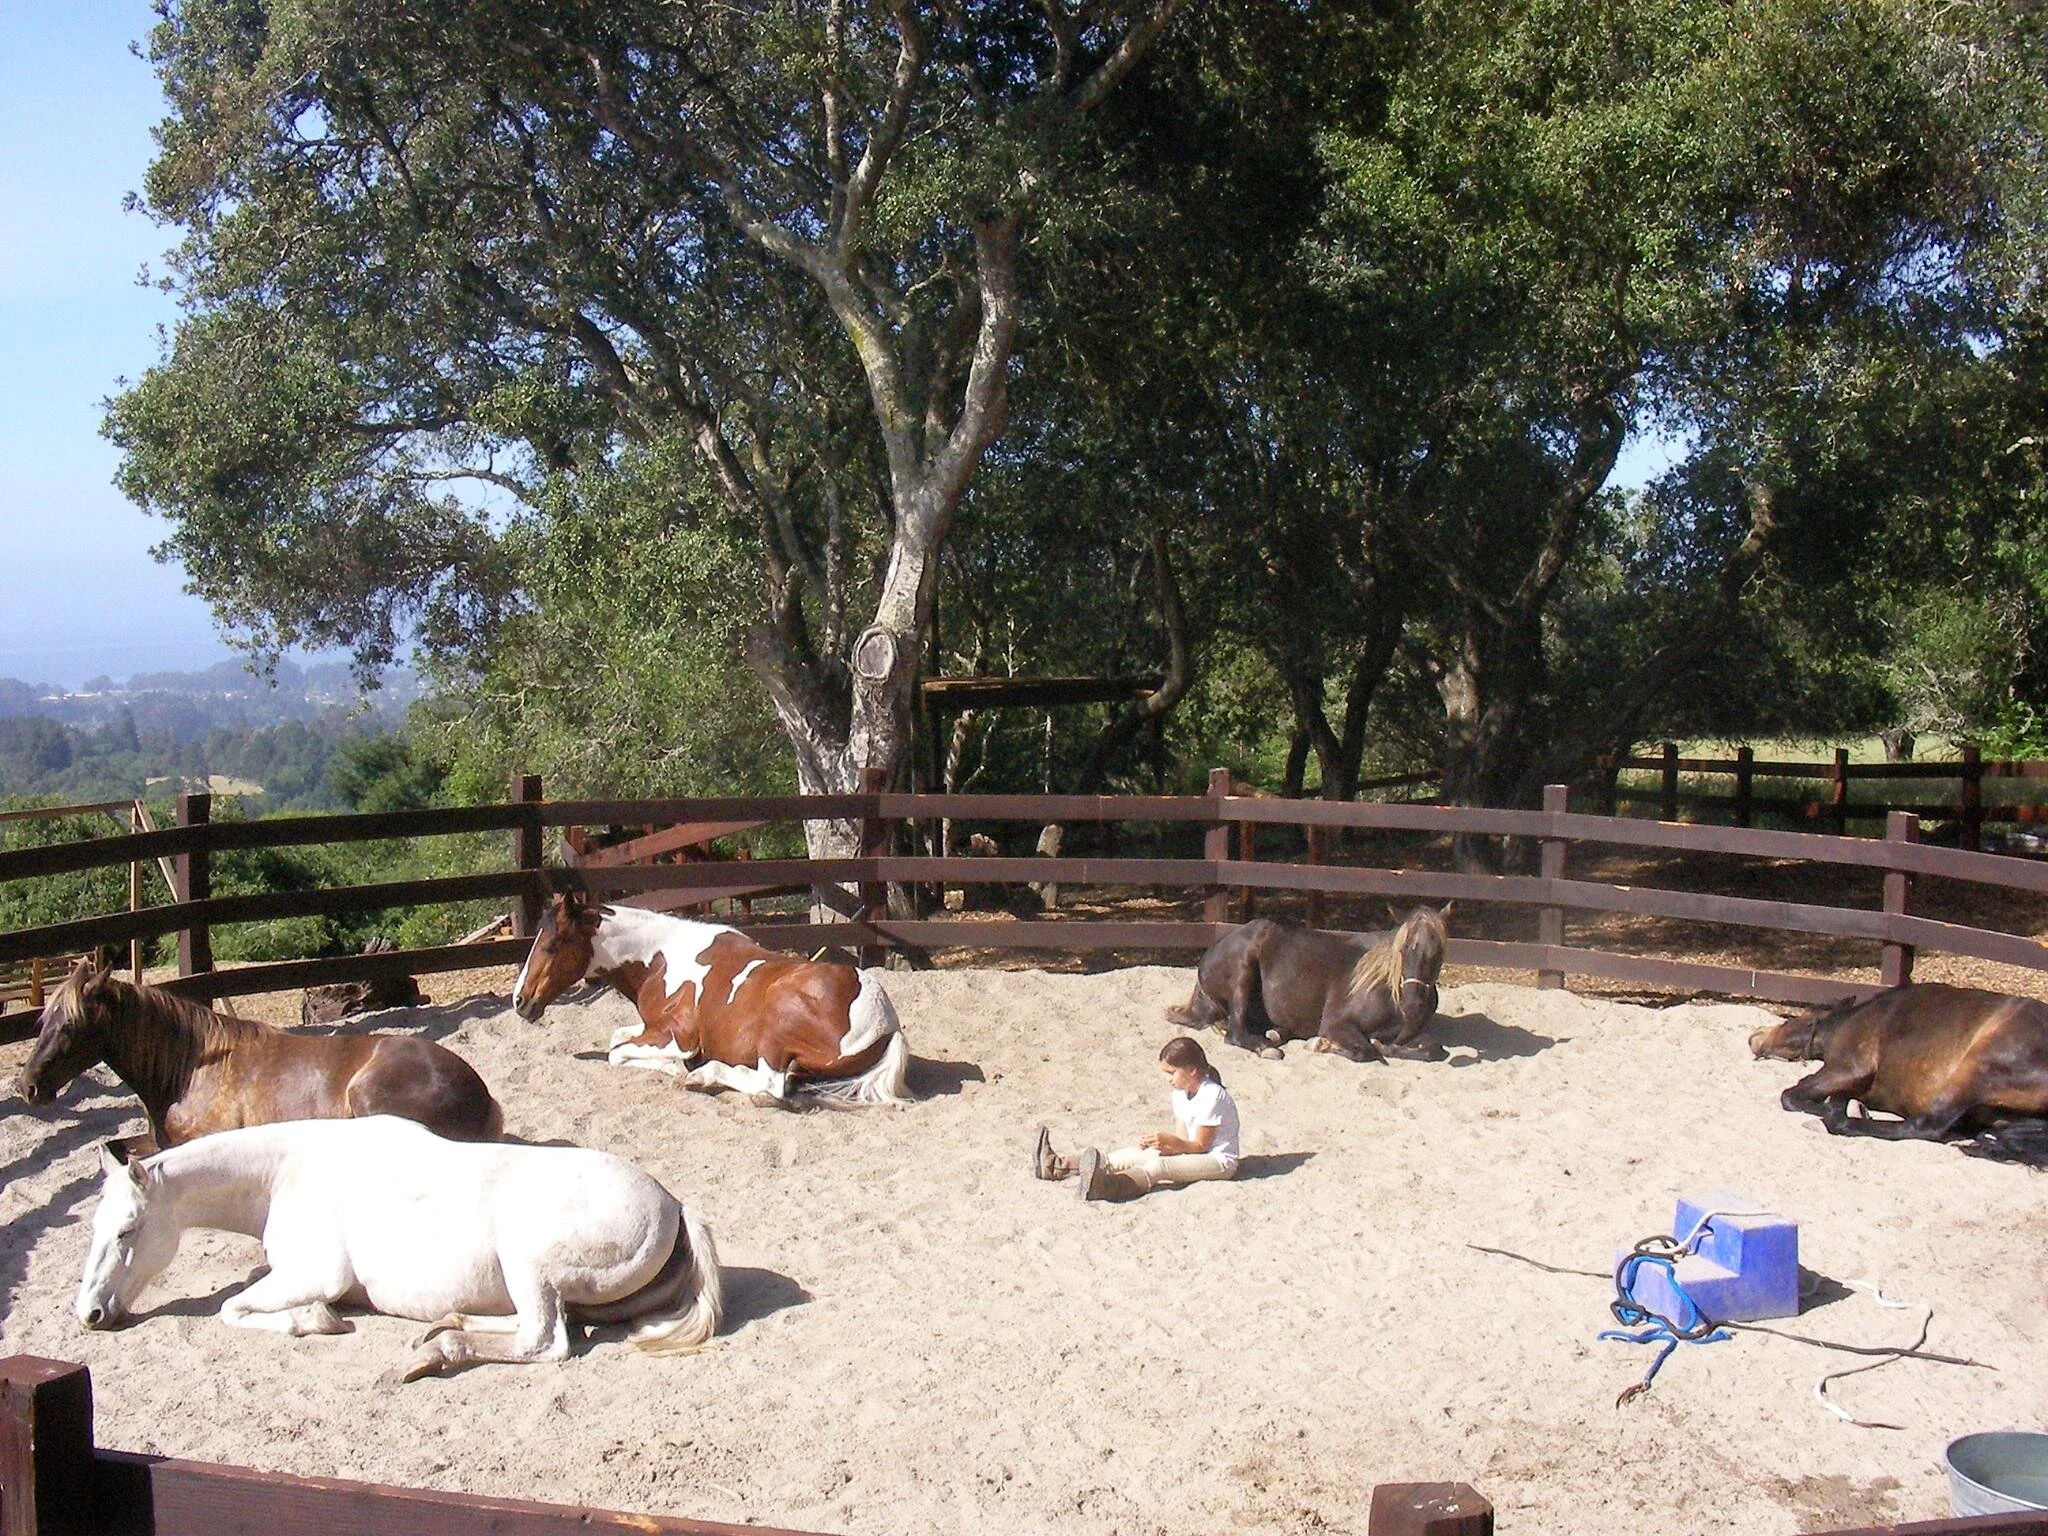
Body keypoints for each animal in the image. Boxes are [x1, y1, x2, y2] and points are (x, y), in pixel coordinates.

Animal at [74, 1116, 722, 1381]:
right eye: (94, 1227)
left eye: (126, 1230)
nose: (90, 1314)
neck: (287, 1170)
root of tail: (671, 1205)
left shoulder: (316, 1274)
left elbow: (231, 1308)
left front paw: (313, 1321)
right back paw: (447, 1324)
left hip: (527, 1262)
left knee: (545, 1341)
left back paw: (437, 1352)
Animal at [512, 891, 912, 1105]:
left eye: (551, 944)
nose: (519, 1001)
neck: (660, 956)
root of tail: (885, 1022)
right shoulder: (650, 1026)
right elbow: (616, 1038)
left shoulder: (679, 1035)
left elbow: (617, 1053)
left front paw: (677, 1068)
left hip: (774, 1029)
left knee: (770, 1084)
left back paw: (703, 1075)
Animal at [1168, 907, 1450, 1062]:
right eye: (1402, 950)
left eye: (1438, 952)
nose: (1412, 1005)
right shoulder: (1336, 1023)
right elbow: (1367, 1051)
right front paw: (1321, 1044)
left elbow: (1434, 1049)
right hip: (1242, 971)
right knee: (1235, 1033)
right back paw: (1267, 1047)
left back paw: (1276, 1033)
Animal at [1750, 983, 2048, 1164]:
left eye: (1799, 1018)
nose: (1755, 1037)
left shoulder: (1849, 1068)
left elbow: (1791, 1096)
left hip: (1975, 1071)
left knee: (1925, 1125)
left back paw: (1842, 1117)